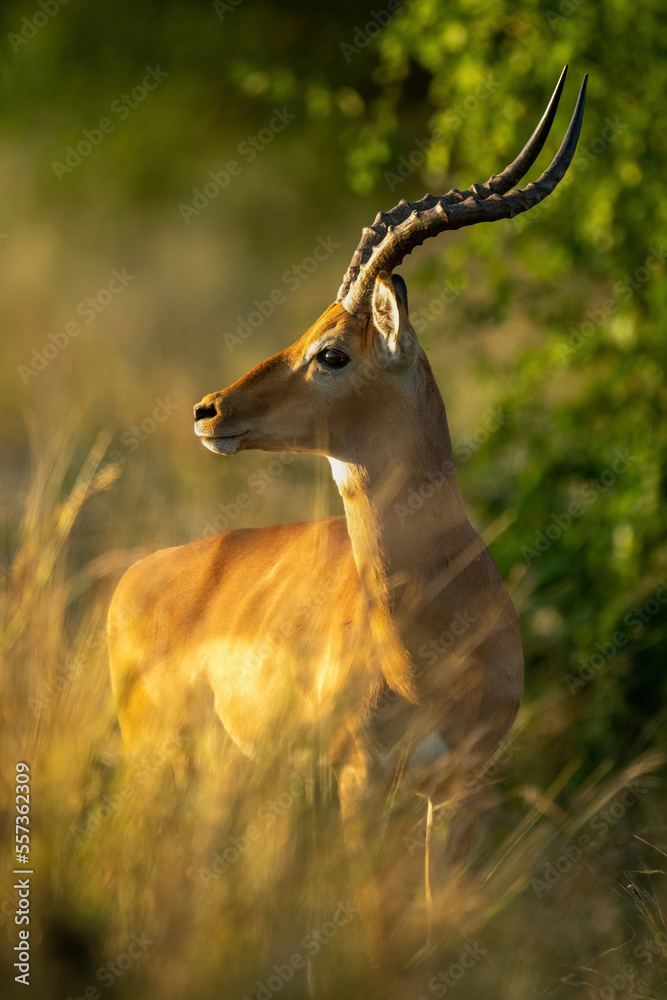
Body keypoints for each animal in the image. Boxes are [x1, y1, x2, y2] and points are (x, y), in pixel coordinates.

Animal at [108, 68, 586, 962]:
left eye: (331, 353)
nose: (208, 411)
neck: (427, 644)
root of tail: (134, 577)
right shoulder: (358, 779)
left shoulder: (460, 787)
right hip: (158, 757)